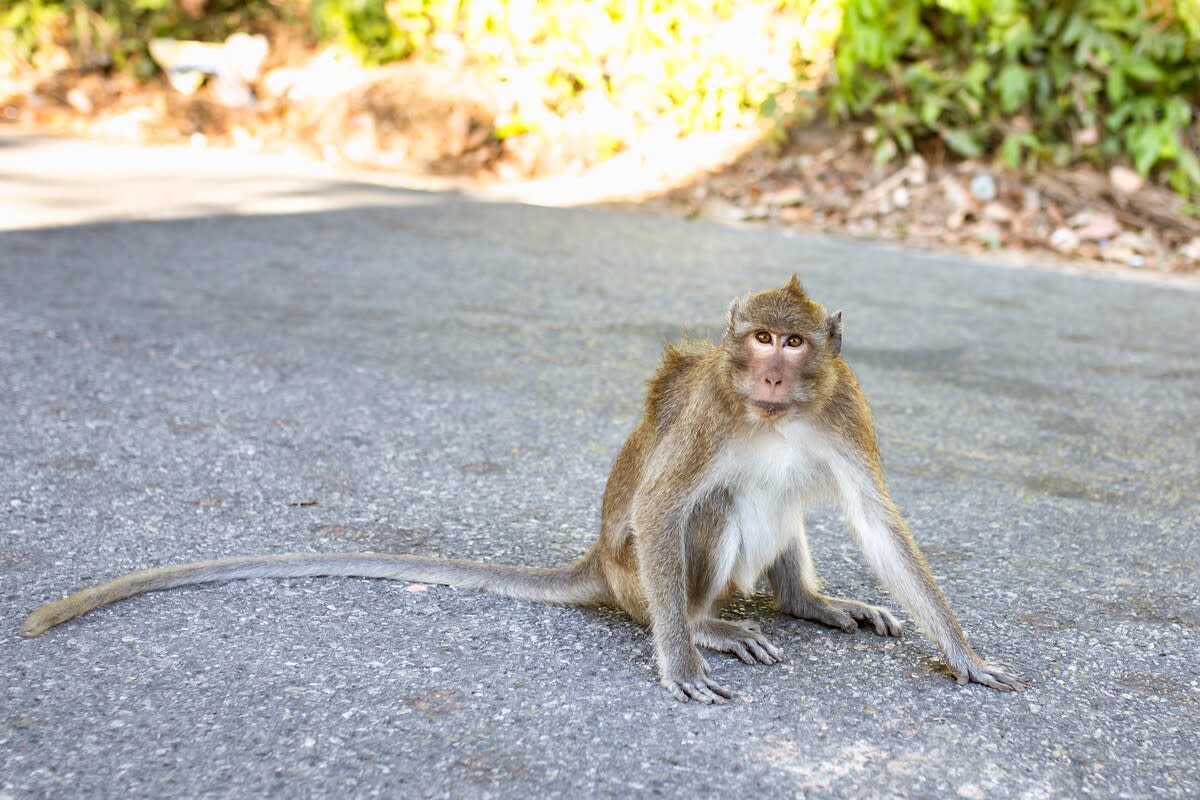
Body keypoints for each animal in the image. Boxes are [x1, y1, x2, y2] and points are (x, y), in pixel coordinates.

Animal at [22, 276, 1025, 702]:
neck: (769, 412)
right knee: (706, 512)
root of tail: (599, 568)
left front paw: (965, 654)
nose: (775, 370)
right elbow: (666, 504)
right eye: (759, 341)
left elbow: (876, 516)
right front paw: (681, 662)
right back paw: (705, 625)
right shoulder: (710, 412)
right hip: (635, 579)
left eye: (795, 343)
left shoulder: (843, 406)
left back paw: (807, 603)